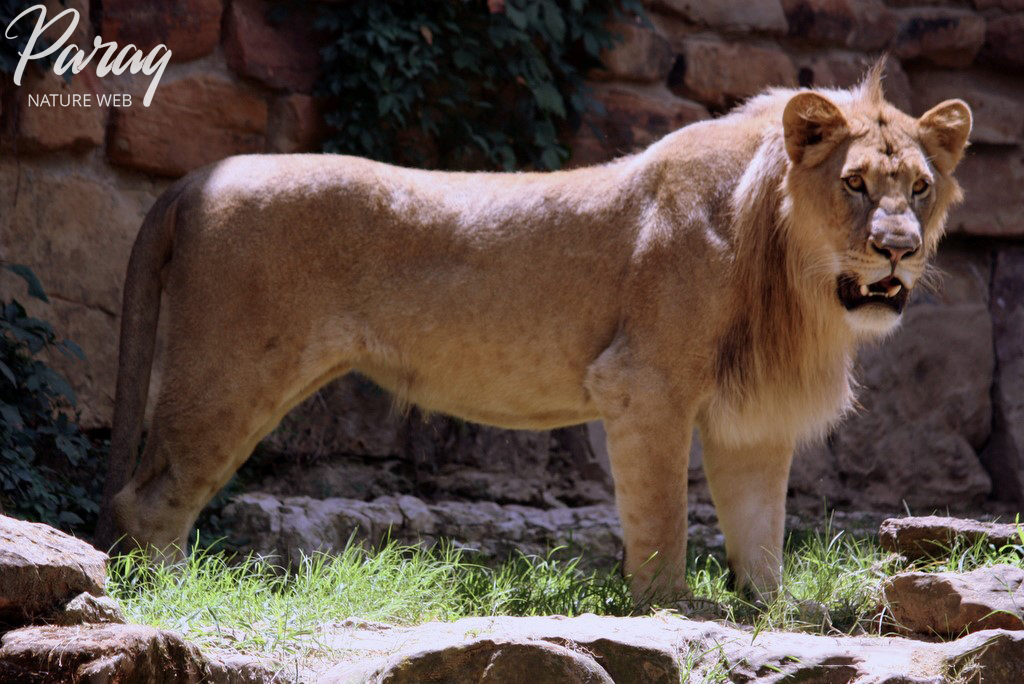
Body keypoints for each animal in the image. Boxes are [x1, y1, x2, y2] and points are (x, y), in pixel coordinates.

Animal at [95, 64, 971, 601]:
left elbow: (760, 530)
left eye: (920, 188)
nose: (899, 249)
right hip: (228, 375)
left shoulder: (751, 419)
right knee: (149, 499)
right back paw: (172, 599)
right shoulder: (643, 383)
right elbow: (661, 515)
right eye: (854, 184)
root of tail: (193, 180)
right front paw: (672, 609)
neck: (795, 276)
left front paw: (772, 612)